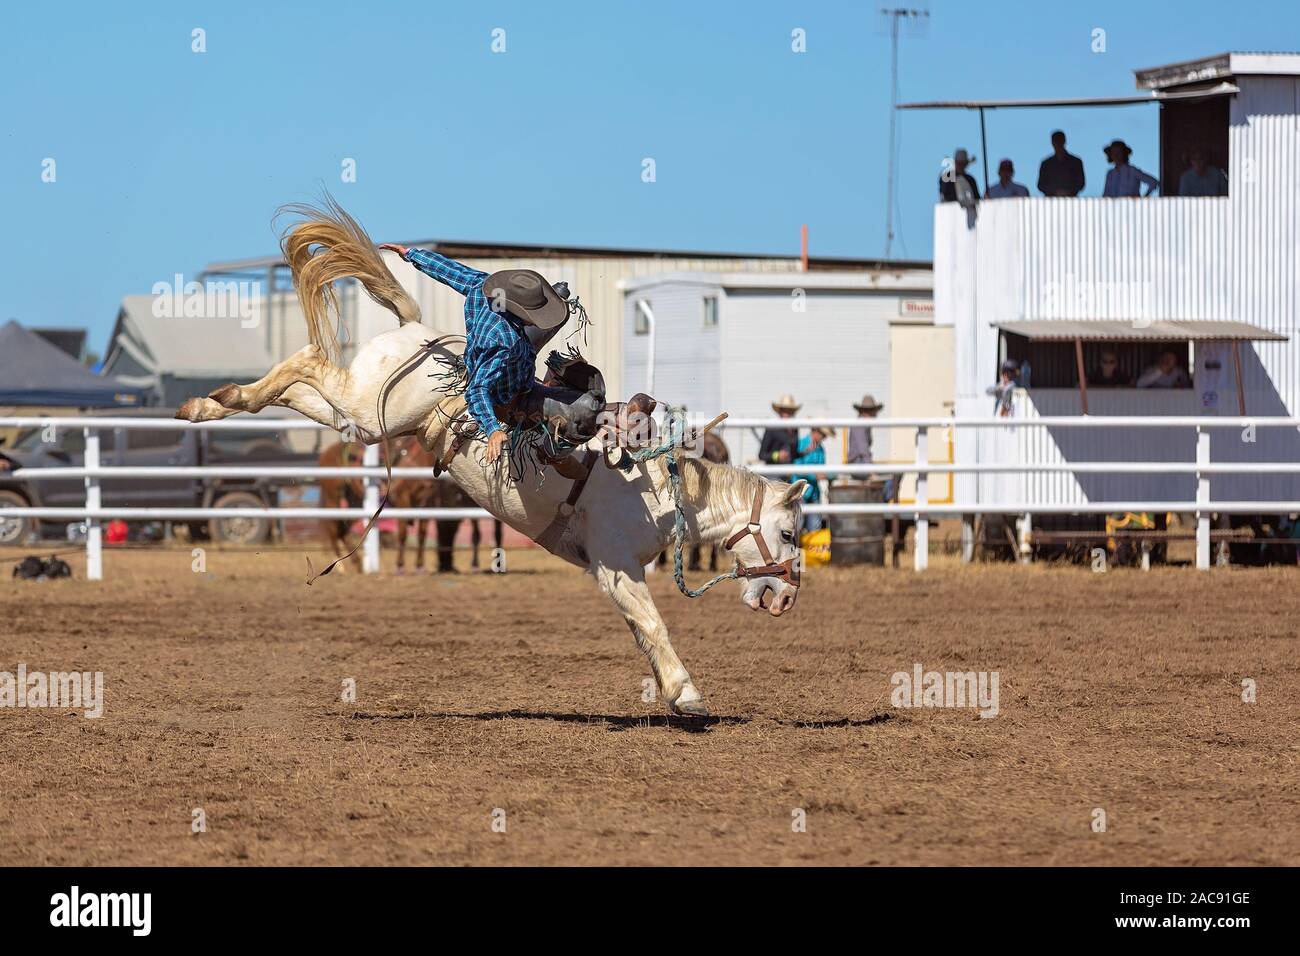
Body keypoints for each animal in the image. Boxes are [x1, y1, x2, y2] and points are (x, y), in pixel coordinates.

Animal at [176, 198, 805, 716]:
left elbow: (642, 629)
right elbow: (652, 624)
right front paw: (689, 695)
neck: (657, 492)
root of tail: (415, 331)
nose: (786, 599)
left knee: (299, 385)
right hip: (370, 412)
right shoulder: (616, 564)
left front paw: (675, 692)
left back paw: (216, 401)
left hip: (357, 417)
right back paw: (210, 402)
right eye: (791, 532)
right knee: (306, 359)